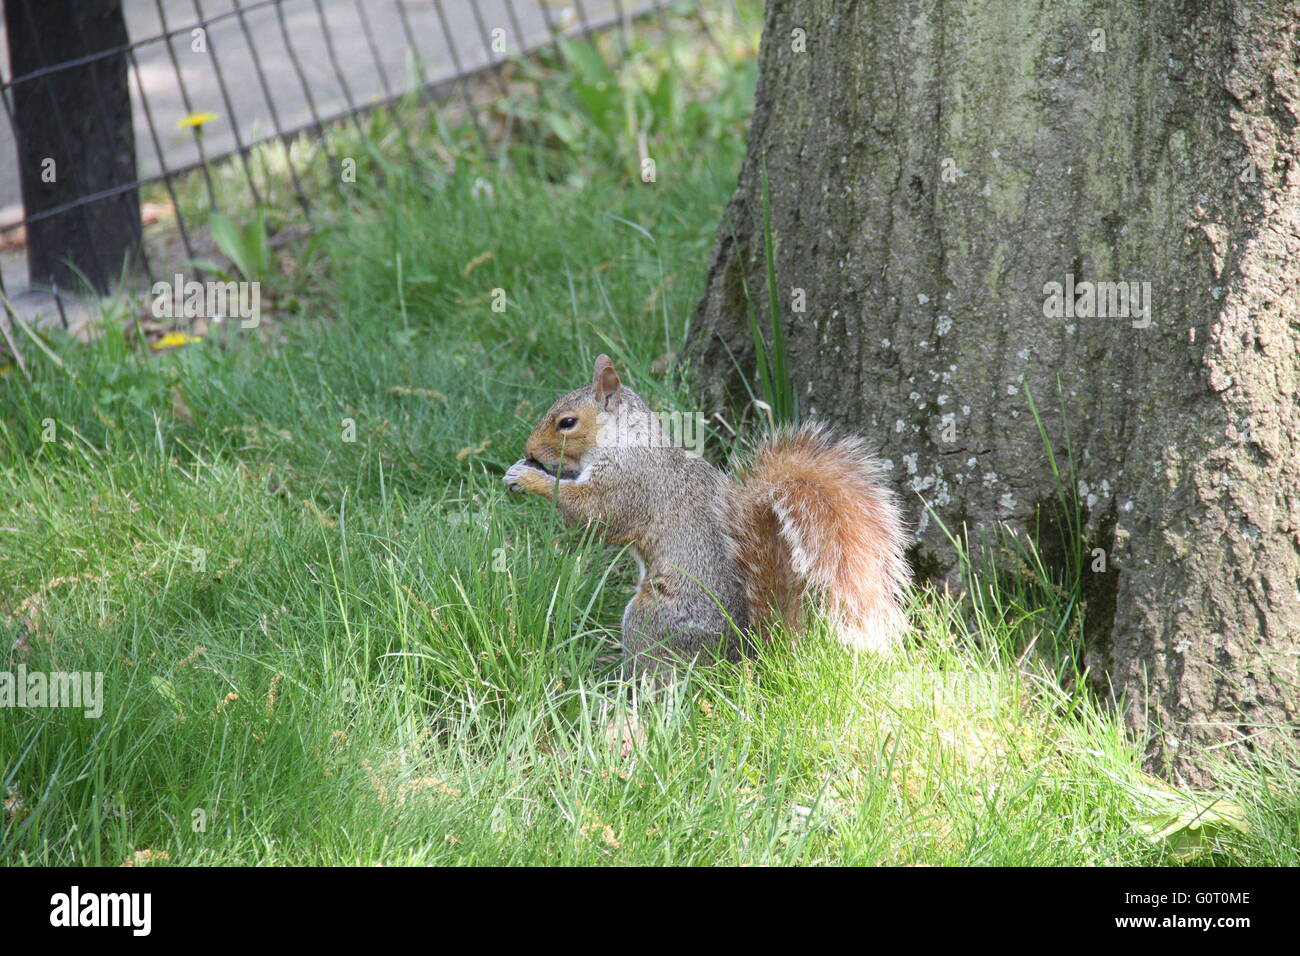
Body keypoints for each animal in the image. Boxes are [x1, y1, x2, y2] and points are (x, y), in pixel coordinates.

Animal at [504, 355, 909, 680]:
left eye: (567, 422)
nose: (528, 449)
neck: (626, 441)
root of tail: (743, 657)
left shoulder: (630, 483)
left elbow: (593, 516)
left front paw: (529, 478)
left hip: (652, 619)